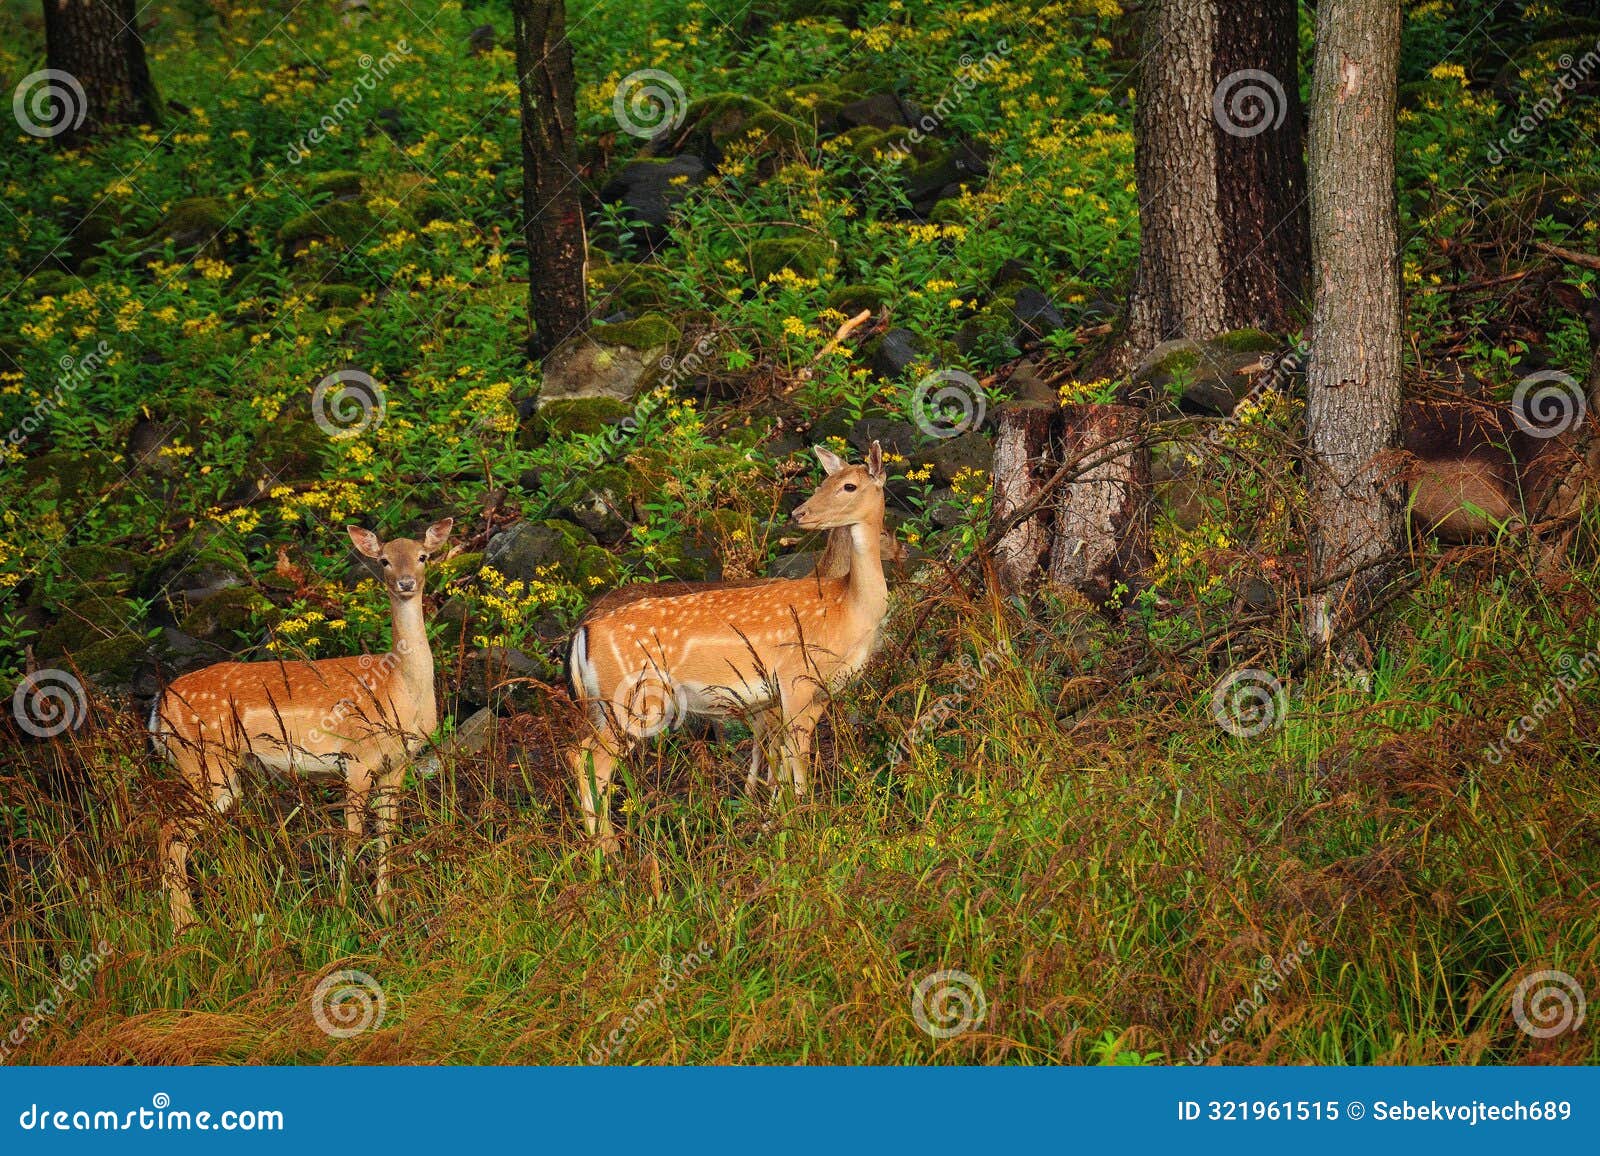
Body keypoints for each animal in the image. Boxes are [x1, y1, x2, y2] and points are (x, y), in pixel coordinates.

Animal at [150, 517, 452, 930]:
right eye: (385, 560)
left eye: (423, 556)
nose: (406, 583)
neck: (399, 689)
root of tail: (158, 709)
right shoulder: (356, 758)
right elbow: (351, 833)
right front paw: (342, 910)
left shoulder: (397, 764)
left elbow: (387, 833)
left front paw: (384, 909)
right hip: (203, 761)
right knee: (169, 831)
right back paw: (185, 927)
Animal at [566, 443, 890, 851]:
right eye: (824, 482)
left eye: (848, 485)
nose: (799, 513)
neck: (849, 608)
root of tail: (584, 630)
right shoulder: (794, 681)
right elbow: (796, 766)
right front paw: (800, 830)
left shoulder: (816, 697)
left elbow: (784, 763)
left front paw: (773, 823)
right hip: (633, 698)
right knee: (588, 758)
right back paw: (607, 850)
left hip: (602, 703)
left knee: (584, 755)